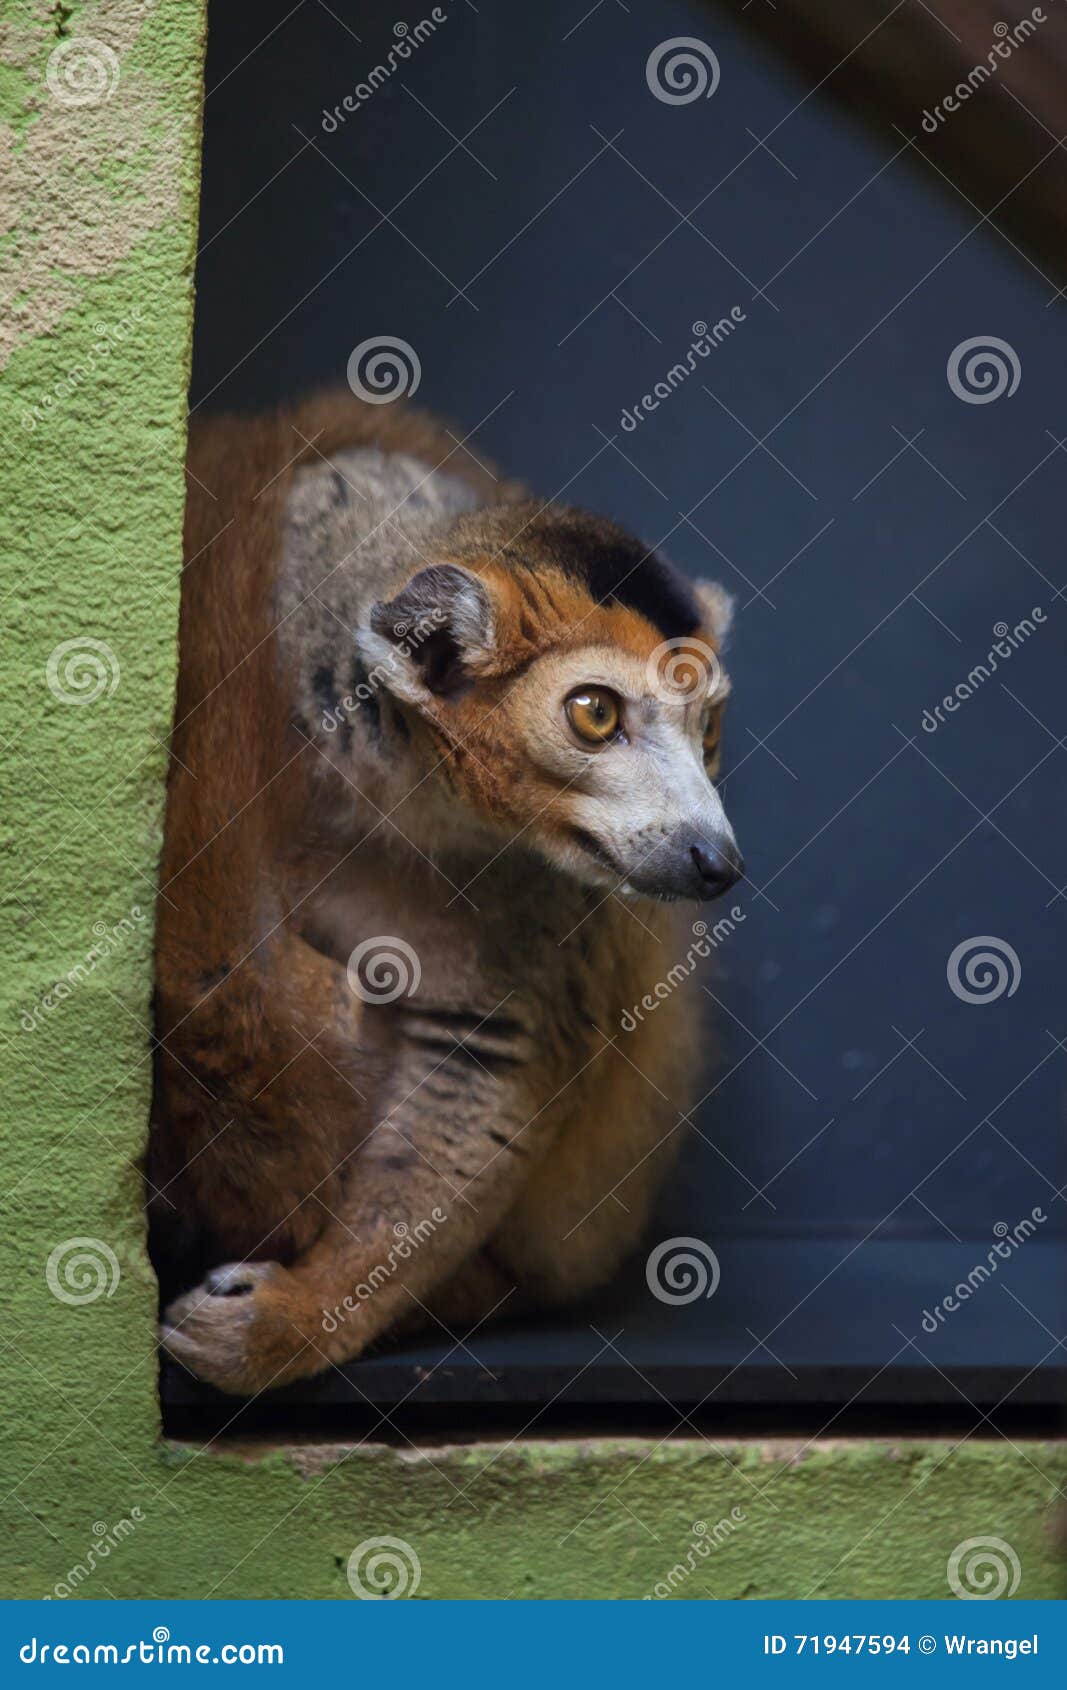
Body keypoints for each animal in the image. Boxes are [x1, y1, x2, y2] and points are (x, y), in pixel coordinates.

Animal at [147, 388, 743, 1396]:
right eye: (594, 714)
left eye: (707, 733)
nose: (715, 858)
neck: (393, 787)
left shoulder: (538, 890)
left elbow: (489, 1061)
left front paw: (295, 1325)